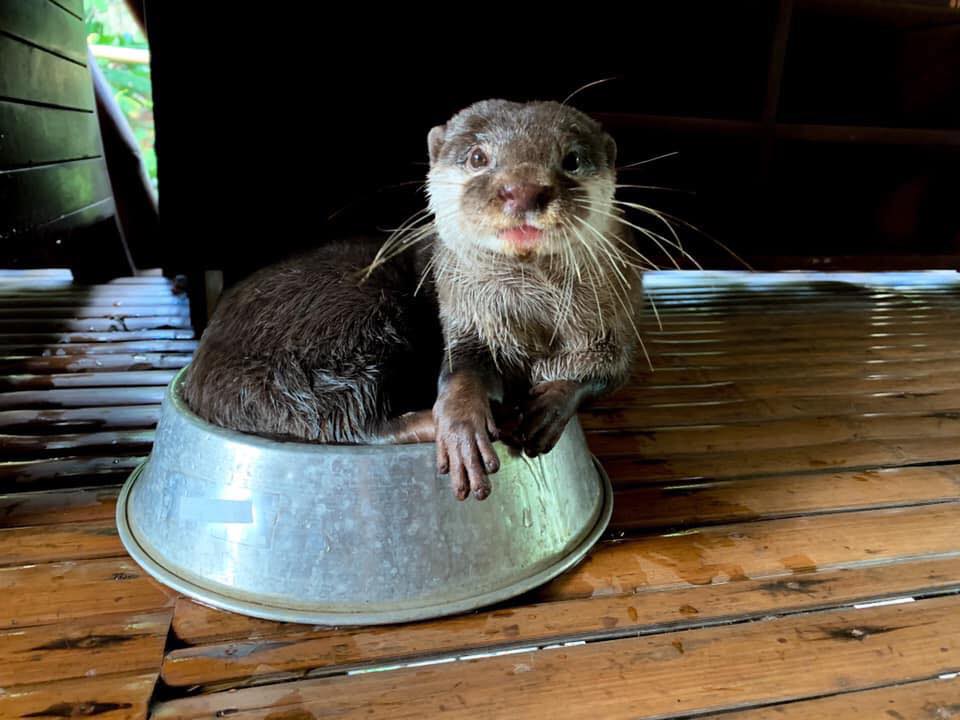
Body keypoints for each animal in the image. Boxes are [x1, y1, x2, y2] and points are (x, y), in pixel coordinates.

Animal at [183, 99, 644, 500]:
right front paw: (461, 423)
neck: (533, 315)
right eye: (478, 157)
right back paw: (429, 422)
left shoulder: (616, 321)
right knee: (344, 418)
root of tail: (204, 376)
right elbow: (461, 370)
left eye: (572, 159)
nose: (524, 189)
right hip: (356, 319)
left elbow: (607, 372)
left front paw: (549, 403)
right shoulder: (465, 317)